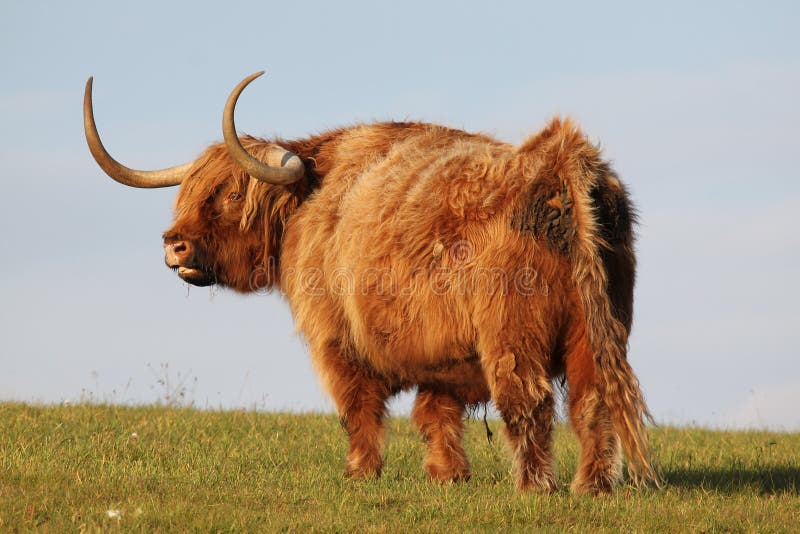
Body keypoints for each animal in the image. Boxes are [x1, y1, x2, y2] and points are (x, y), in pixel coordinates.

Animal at [83, 72, 657, 494]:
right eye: (189, 193)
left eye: (231, 194)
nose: (173, 245)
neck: (309, 204)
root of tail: (558, 164)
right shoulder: (439, 353)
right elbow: (435, 412)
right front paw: (446, 476)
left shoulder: (335, 338)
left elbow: (357, 407)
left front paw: (360, 472)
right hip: (595, 332)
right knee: (592, 402)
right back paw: (591, 486)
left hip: (512, 337)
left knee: (530, 403)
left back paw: (535, 487)